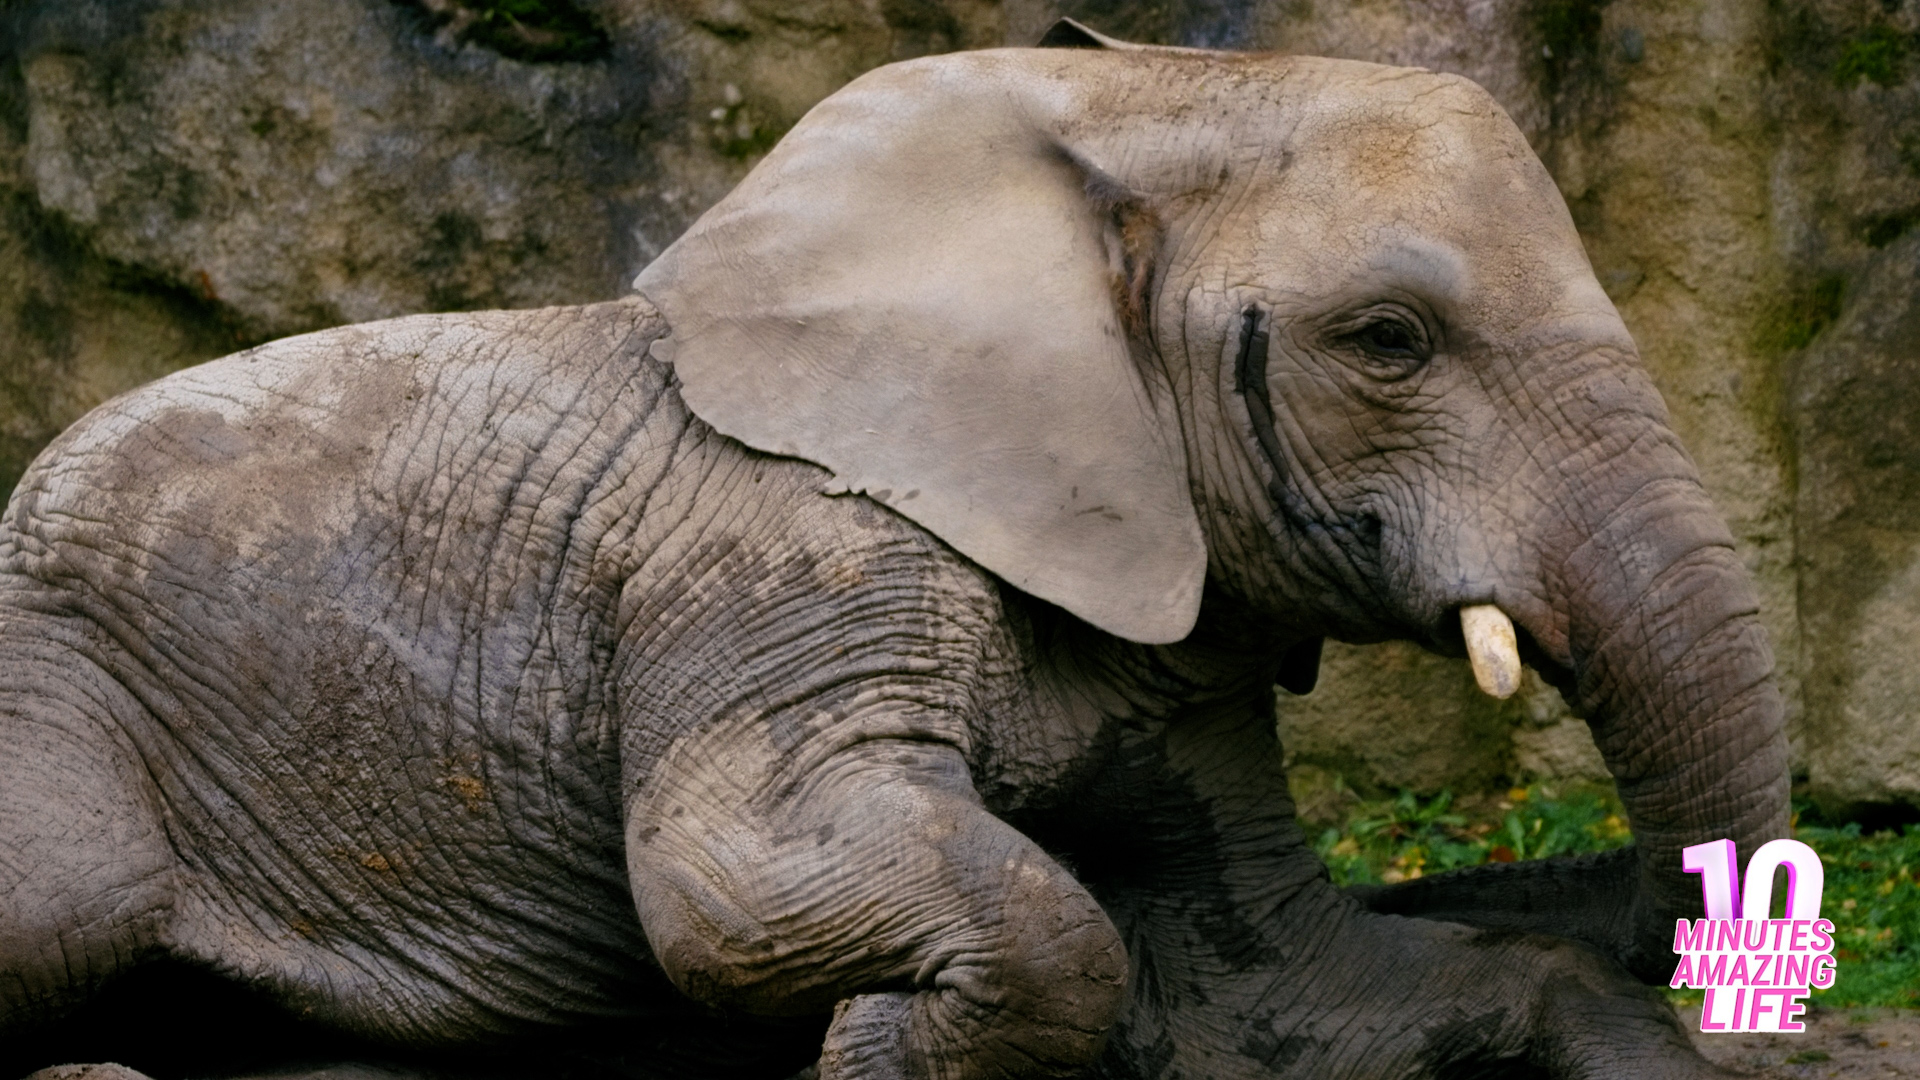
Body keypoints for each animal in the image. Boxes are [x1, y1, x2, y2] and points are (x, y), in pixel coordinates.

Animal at [0, 19, 1788, 1080]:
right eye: (1391, 341)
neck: (1120, 107)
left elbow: (1279, 985)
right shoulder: (788, 549)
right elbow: (740, 884)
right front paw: (867, 1038)